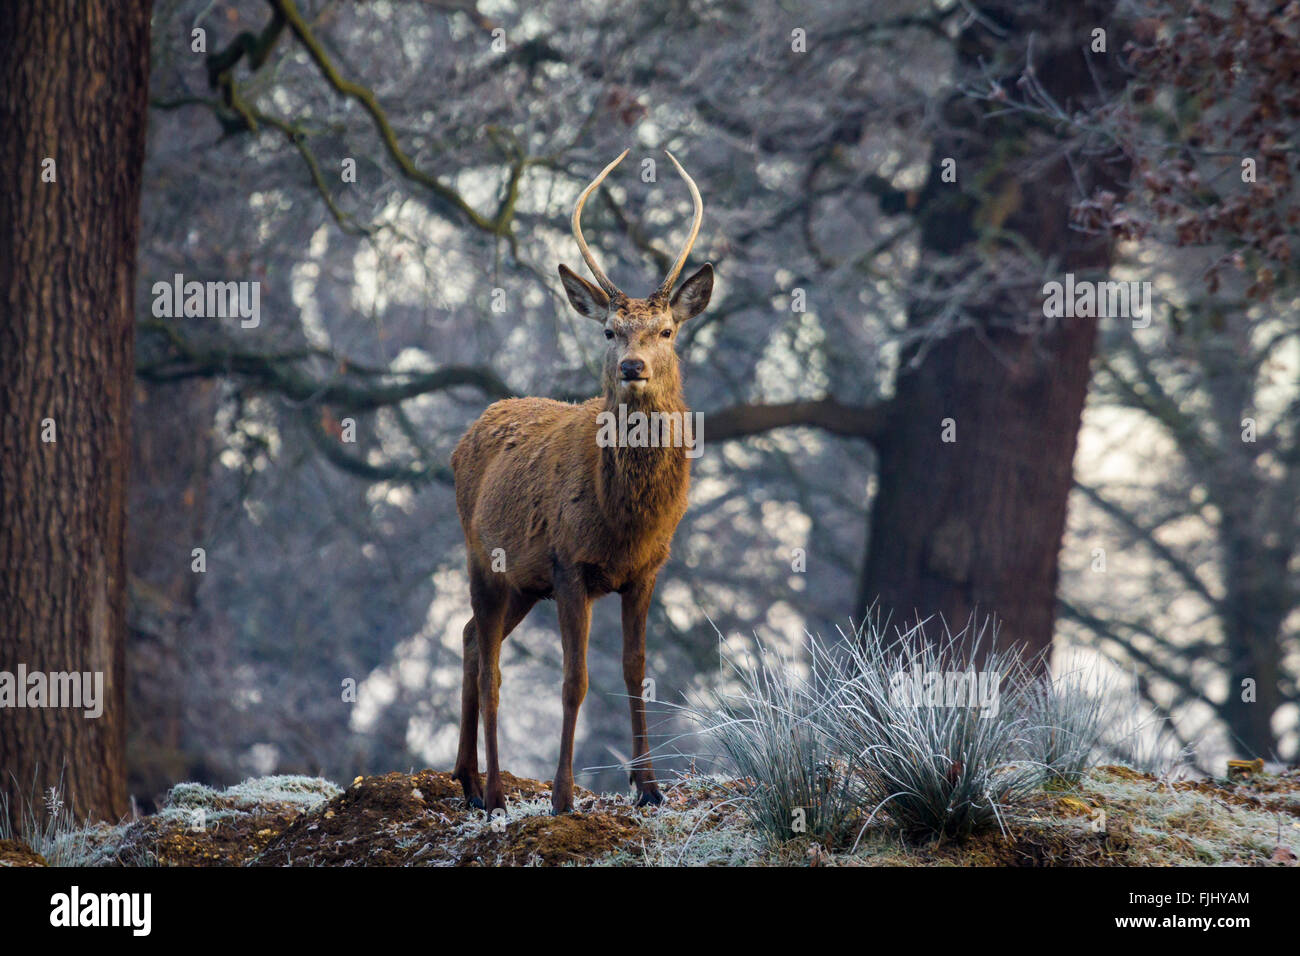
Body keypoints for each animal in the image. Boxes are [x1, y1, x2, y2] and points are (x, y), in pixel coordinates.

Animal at [450, 149, 713, 815]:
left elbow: (634, 671)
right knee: (490, 662)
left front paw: (649, 787)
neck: (624, 521)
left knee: (470, 640)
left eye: (667, 331)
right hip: (482, 558)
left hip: (521, 582)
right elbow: (574, 680)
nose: (633, 367)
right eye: (609, 330)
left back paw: (466, 779)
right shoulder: (570, 563)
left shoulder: (645, 571)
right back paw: (493, 789)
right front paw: (564, 795)